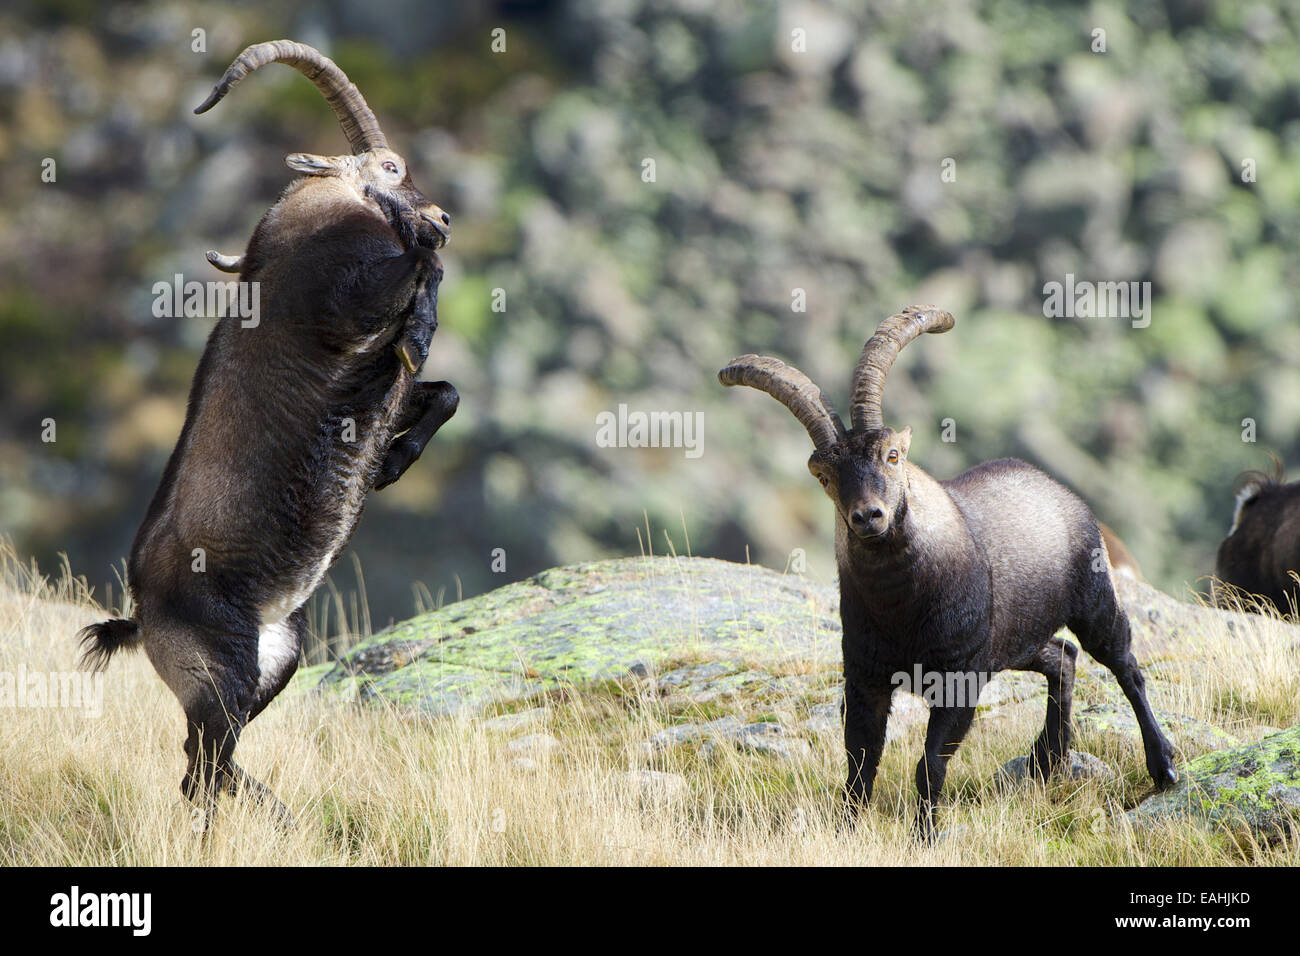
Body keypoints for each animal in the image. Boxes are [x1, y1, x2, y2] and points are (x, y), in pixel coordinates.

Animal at [78, 40, 459, 830]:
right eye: (390, 167)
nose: (442, 211)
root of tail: (139, 618)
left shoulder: (379, 386)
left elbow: (443, 392)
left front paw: (391, 465)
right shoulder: (349, 312)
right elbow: (416, 271)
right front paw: (425, 291)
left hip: (274, 662)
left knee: (202, 764)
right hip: (220, 668)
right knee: (205, 768)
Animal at [719, 306, 1177, 839]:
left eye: (892, 455)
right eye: (825, 478)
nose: (868, 516)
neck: (900, 601)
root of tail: (1057, 490)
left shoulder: (959, 678)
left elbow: (929, 764)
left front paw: (925, 836)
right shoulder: (866, 677)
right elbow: (859, 762)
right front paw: (848, 830)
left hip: (1091, 599)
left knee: (1124, 664)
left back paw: (1162, 766)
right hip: (1011, 640)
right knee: (1061, 657)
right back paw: (1048, 760)